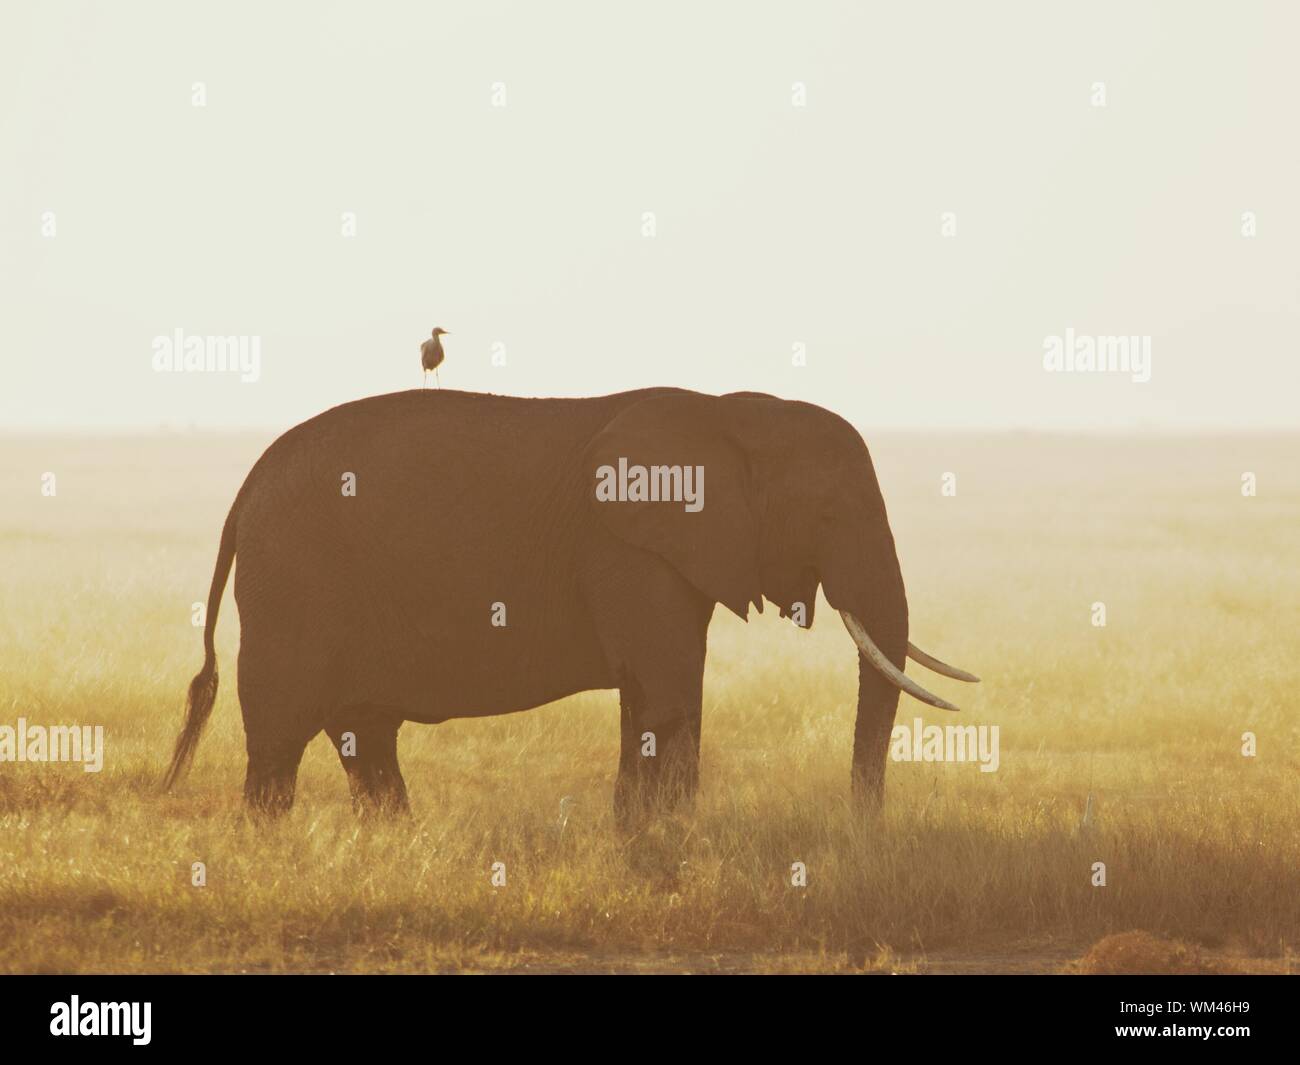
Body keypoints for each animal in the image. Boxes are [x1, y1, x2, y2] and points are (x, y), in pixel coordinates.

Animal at [163, 387, 977, 822]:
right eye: (832, 515)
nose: (862, 831)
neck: (733, 411)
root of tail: (244, 487)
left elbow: (657, 698)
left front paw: (648, 840)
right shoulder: (627, 545)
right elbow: (668, 697)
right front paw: (661, 845)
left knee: (363, 732)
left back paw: (393, 841)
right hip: (291, 583)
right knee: (281, 734)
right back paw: (272, 849)